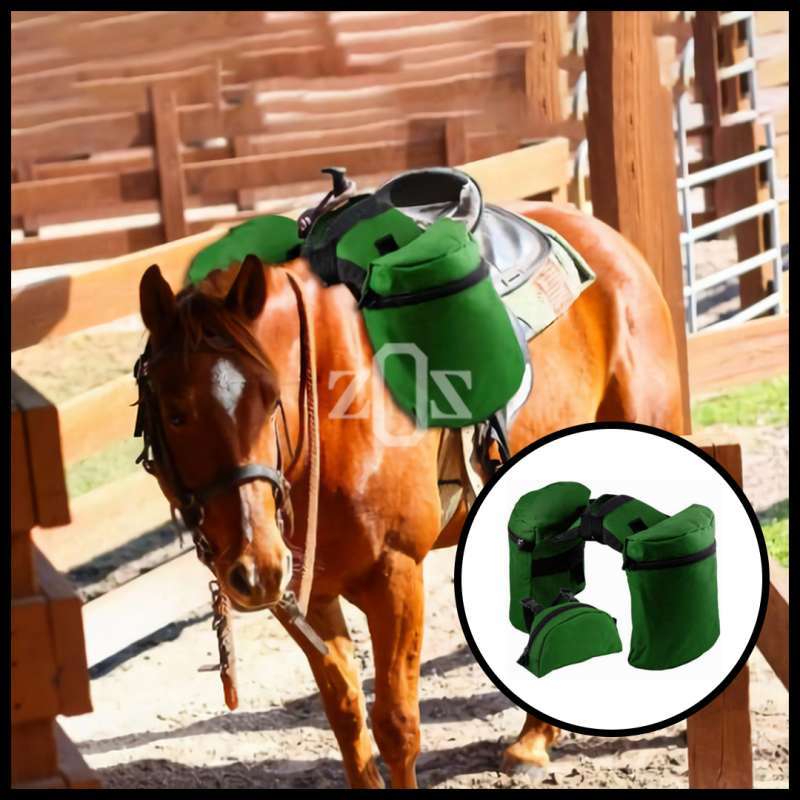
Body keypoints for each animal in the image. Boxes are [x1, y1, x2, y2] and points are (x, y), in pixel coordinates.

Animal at [137, 200, 683, 788]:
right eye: (175, 412)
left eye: (270, 397)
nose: (256, 568)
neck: (329, 410)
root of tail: (599, 233)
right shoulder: (304, 596)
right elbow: (345, 713)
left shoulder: (395, 578)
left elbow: (396, 724)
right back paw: (535, 739)